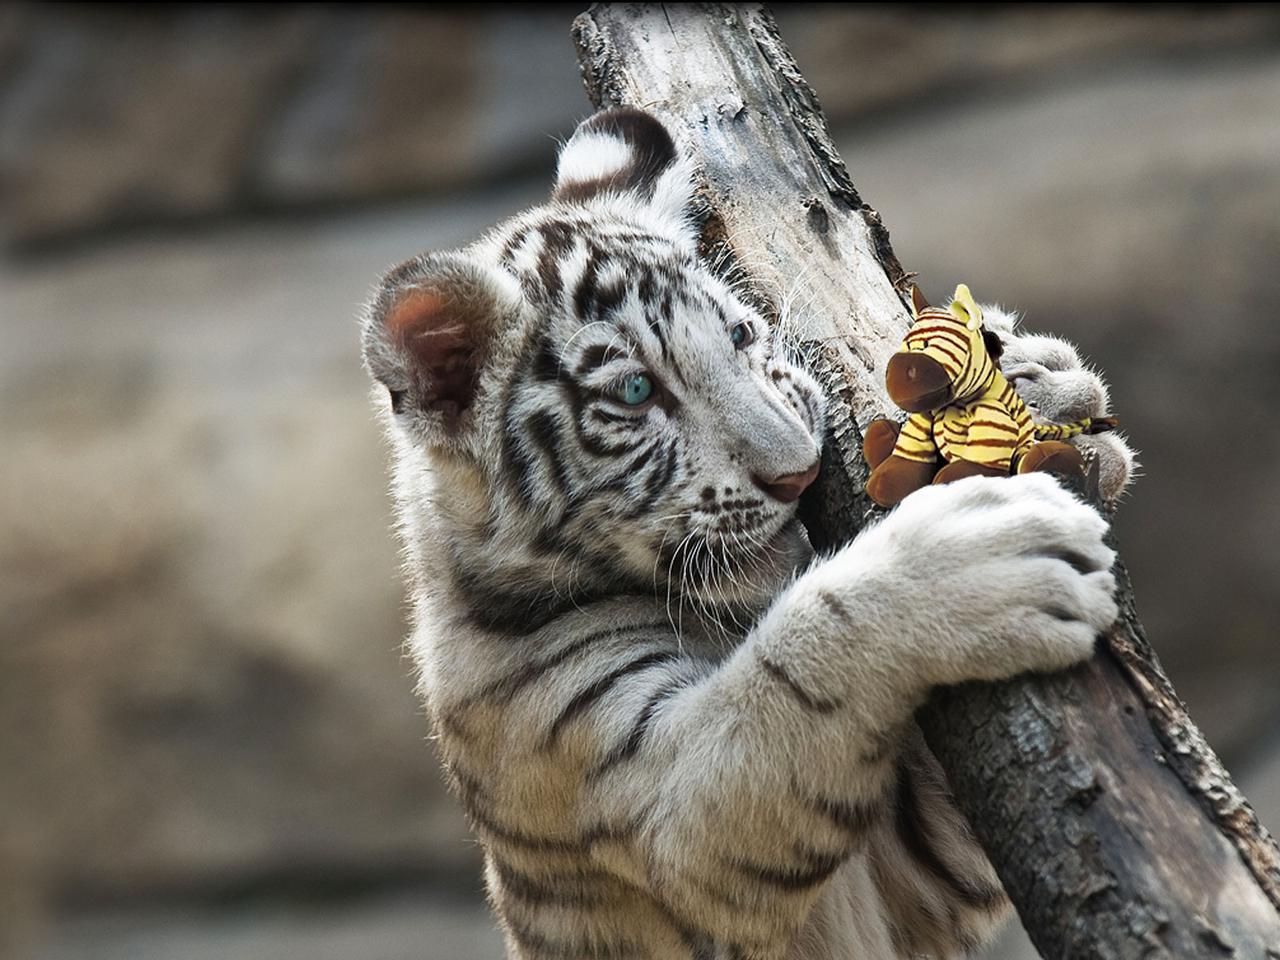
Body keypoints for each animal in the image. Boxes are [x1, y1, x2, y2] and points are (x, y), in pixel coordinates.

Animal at [360, 107, 1130, 960]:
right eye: (638, 392)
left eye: (735, 336)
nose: (798, 473)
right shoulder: (666, 806)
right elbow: (798, 662)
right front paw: (982, 563)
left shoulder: (917, 866)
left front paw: (1044, 383)